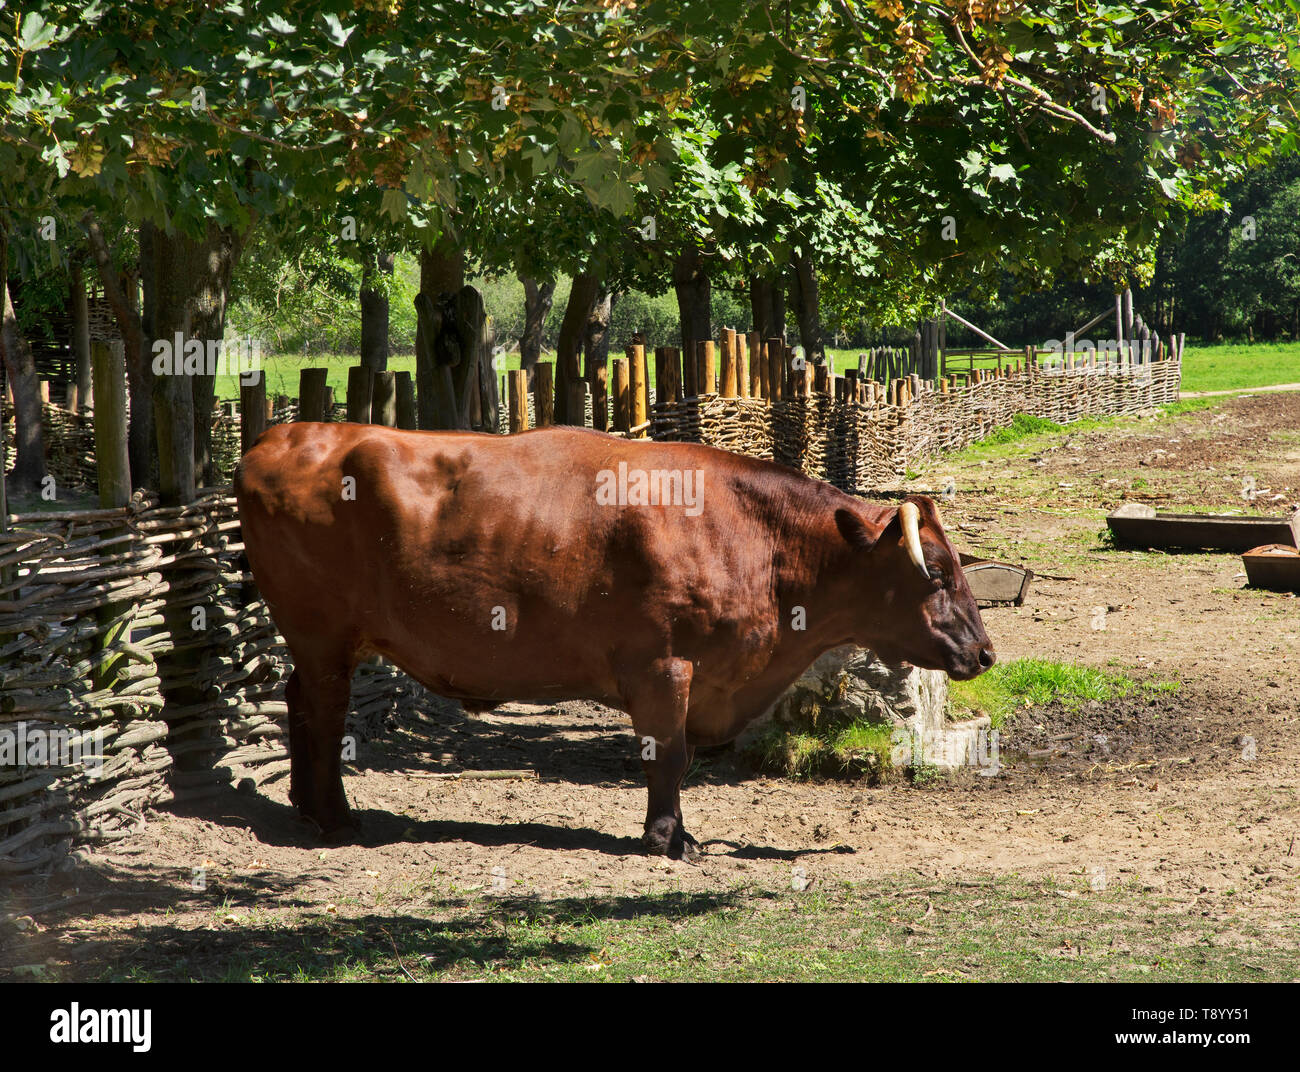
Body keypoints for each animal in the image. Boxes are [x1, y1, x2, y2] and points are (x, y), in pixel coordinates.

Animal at [234, 423, 994, 860]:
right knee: (324, 711)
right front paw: (666, 839)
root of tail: (279, 437)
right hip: (323, 634)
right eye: (939, 571)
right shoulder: (662, 667)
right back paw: (334, 817)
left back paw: (306, 806)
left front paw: (678, 833)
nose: (986, 653)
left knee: (299, 701)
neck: (748, 535)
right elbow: (670, 758)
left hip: (318, 643)